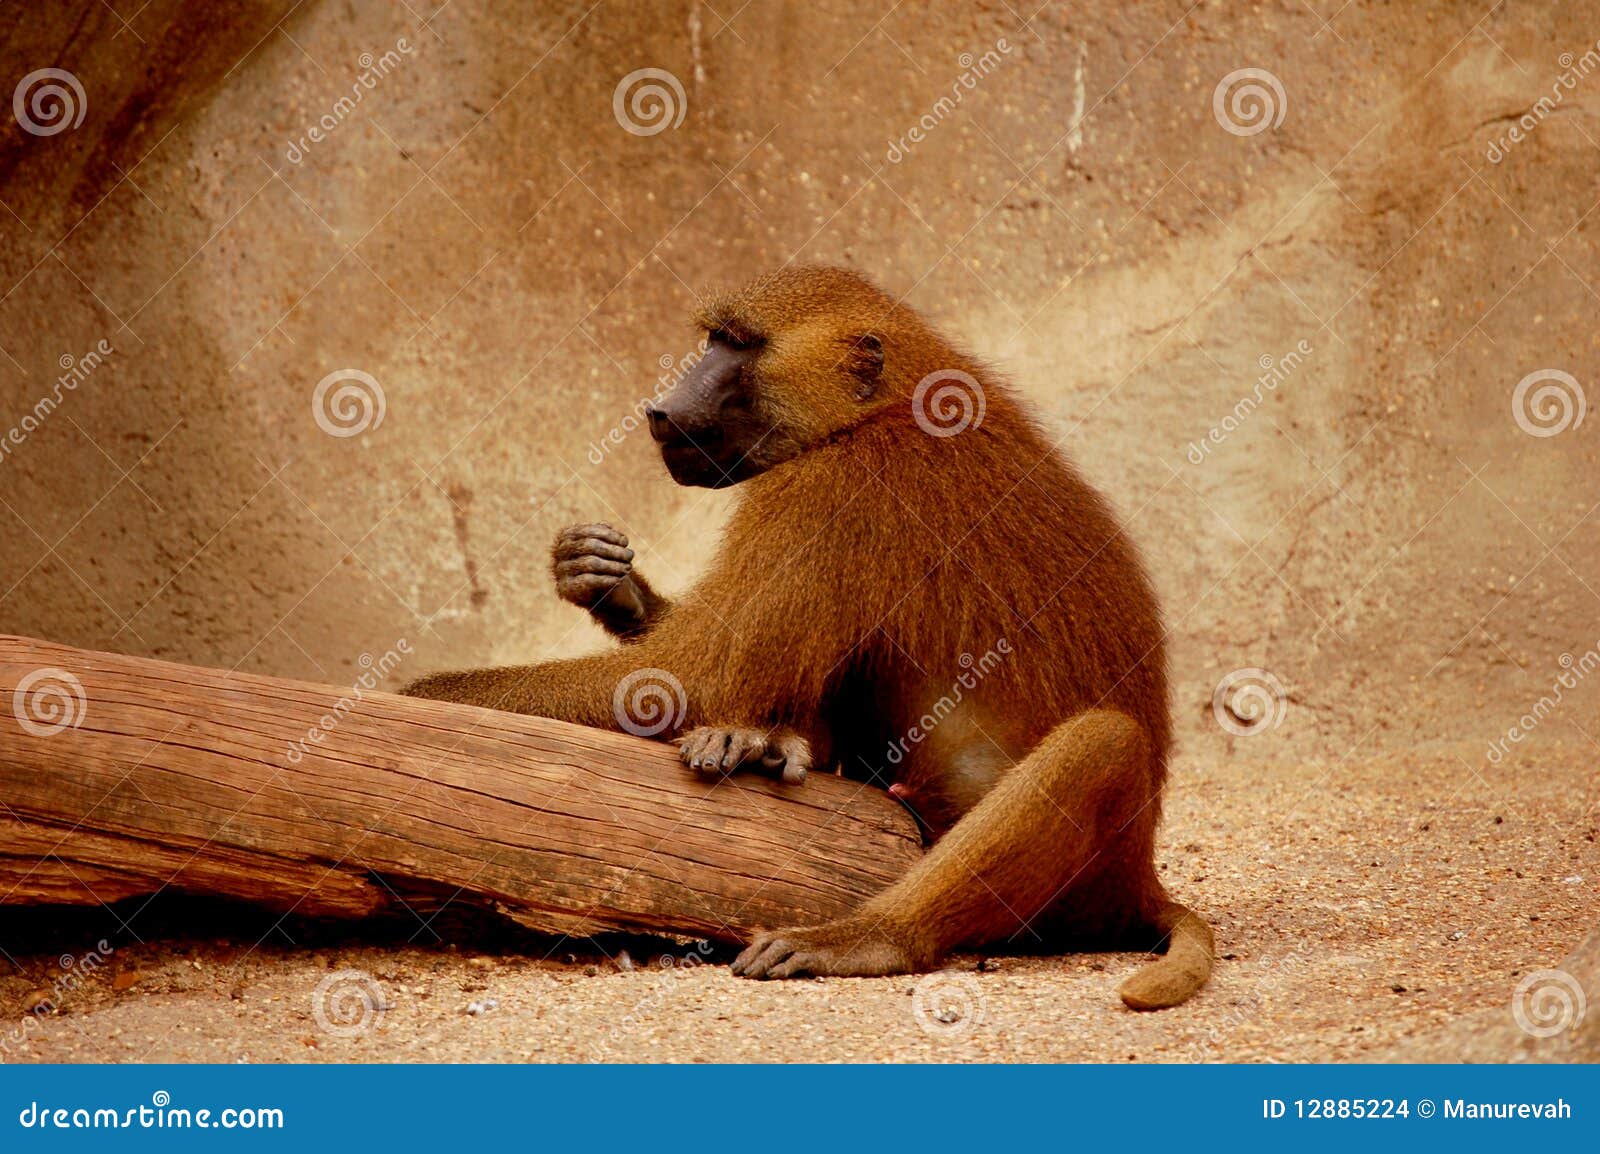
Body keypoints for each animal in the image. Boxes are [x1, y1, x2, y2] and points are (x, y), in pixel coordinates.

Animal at [402, 264, 1215, 1010]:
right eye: (714, 339)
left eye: (739, 345)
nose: (661, 409)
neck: (888, 407)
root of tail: (1138, 884)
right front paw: (603, 578)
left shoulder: (838, 488)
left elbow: (694, 675)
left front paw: (412, 697)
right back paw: (765, 747)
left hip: (1087, 879)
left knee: (1104, 742)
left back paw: (872, 937)